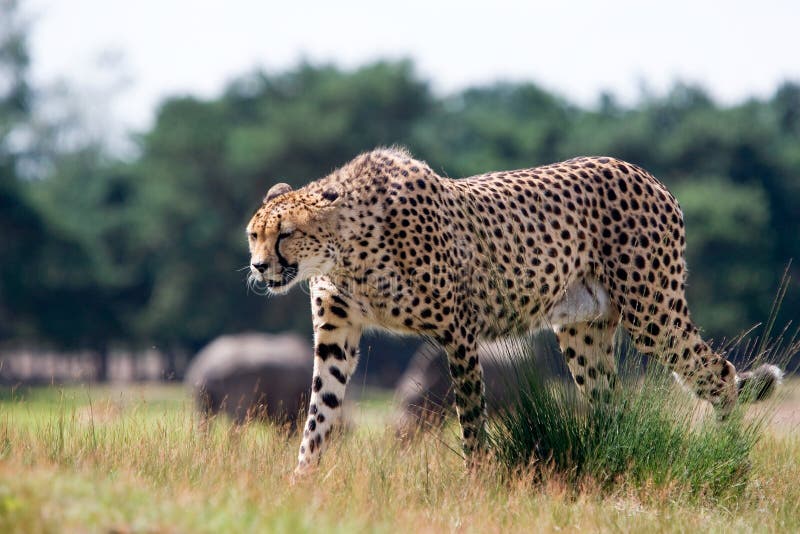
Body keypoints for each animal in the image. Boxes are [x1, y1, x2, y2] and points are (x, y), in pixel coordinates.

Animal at [246, 147, 782, 474]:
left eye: (286, 234)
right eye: (255, 234)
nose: (257, 265)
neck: (346, 249)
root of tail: (646, 174)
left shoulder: (459, 331)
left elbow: (471, 421)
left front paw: (475, 483)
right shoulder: (337, 335)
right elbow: (319, 414)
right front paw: (301, 482)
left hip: (653, 312)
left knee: (720, 372)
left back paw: (732, 458)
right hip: (584, 330)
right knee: (612, 401)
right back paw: (611, 461)